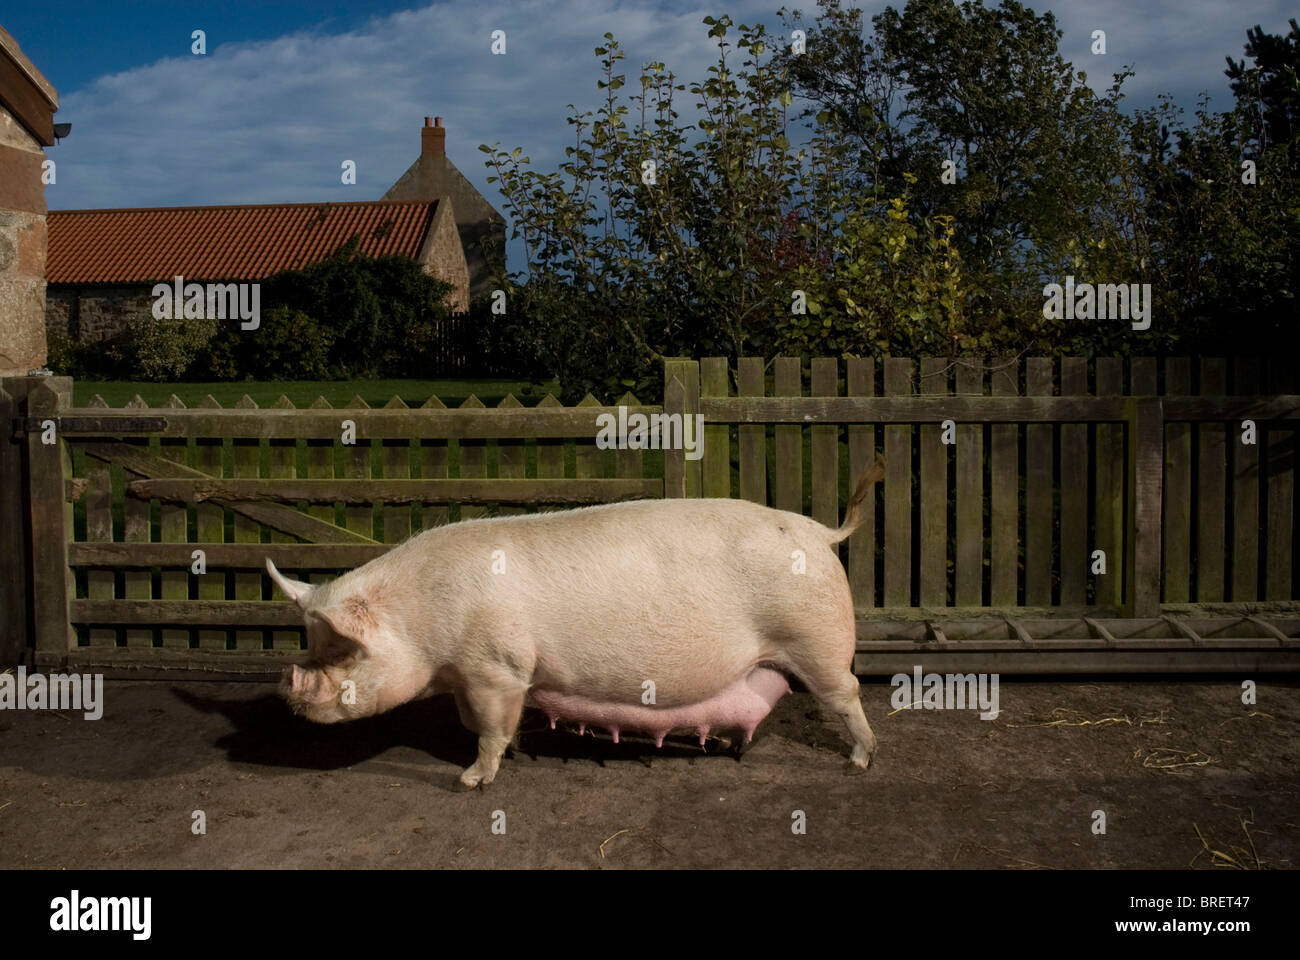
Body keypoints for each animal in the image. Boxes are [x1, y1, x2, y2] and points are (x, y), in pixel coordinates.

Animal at [268, 460, 884, 788]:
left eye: (344, 652)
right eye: (311, 643)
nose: (286, 682)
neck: (424, 626)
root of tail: (823, 532)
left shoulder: (497, 668)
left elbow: (487, 729)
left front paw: (470, 780)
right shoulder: (479, 676)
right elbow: (479, 722)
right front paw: (518, 750)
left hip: (817, 641)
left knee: (849, 693)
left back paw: (859, 762)